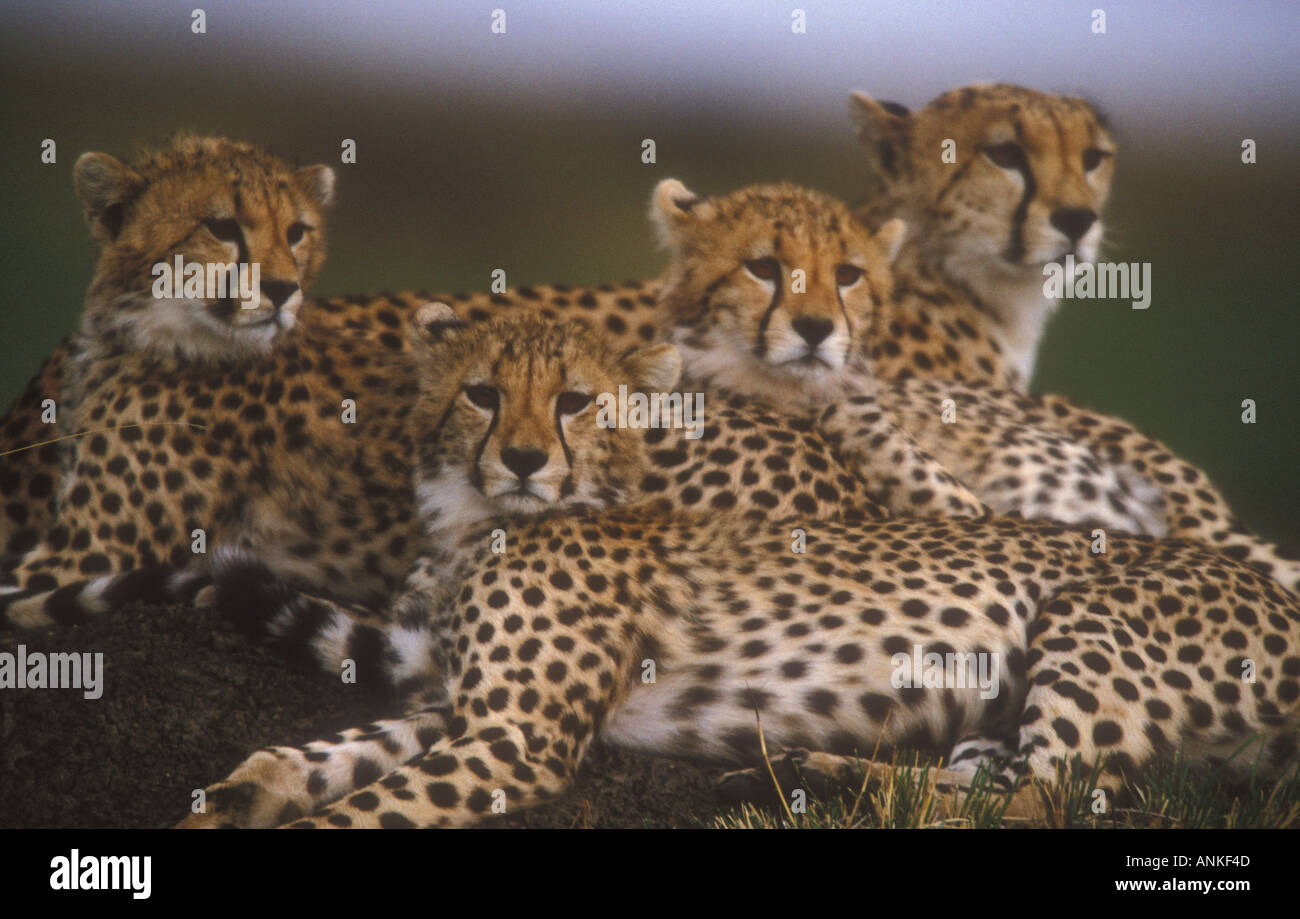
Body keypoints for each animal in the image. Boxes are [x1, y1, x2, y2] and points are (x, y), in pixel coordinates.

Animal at [181, 310, 1300, 828]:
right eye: (483, 393)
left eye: (576, 400)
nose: (525, 458)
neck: (473, 523)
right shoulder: (456, 705)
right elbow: (334, 752)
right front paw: (242, 789)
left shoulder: (515, 735)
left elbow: (366, 806)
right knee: (991, 781)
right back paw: (824, 771)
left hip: (1090, 617)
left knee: (1050, 797)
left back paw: (816, 771)